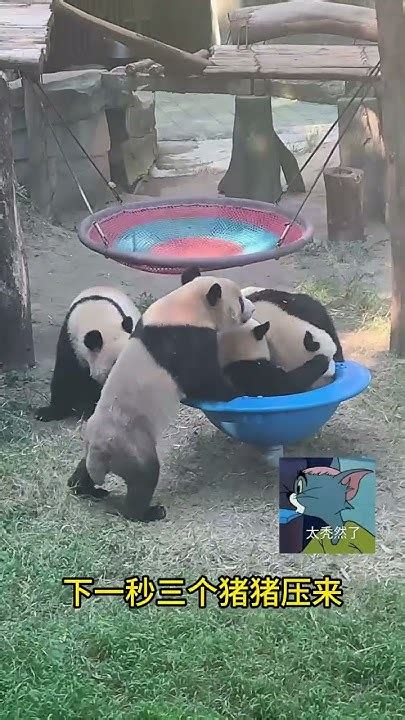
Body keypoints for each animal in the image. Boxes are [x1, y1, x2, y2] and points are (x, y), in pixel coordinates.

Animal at [67, 270, 255, 521]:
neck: (187, 306)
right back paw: (147, 512)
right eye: (240, 301)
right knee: (144, 477)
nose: (252, 308)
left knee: (83, 467)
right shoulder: (185, 341)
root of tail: (99, 452)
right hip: (132, 444)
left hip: (91, 440)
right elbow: (204, 380)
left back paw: (83, 487)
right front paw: (238, 392)